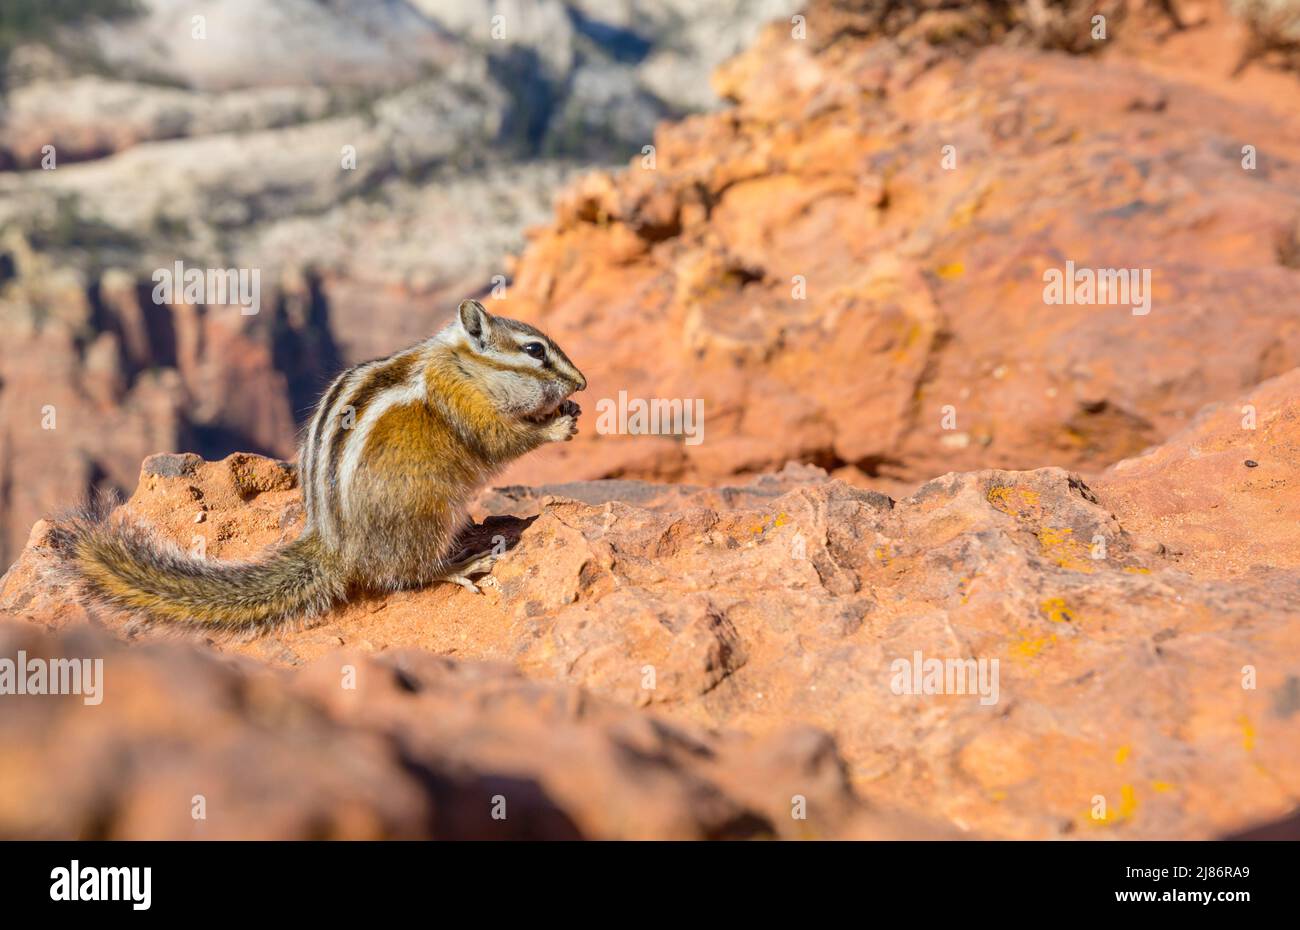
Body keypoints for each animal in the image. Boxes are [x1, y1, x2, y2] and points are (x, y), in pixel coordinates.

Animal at [56, 299, 586, 634]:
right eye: (534, 350)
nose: (581, 383)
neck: (464, 365)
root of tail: (335, 548)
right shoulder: (463, 404)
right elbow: (501, 440)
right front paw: (556, 426)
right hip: (427, 513)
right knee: (410, 572)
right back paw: (460, 565)